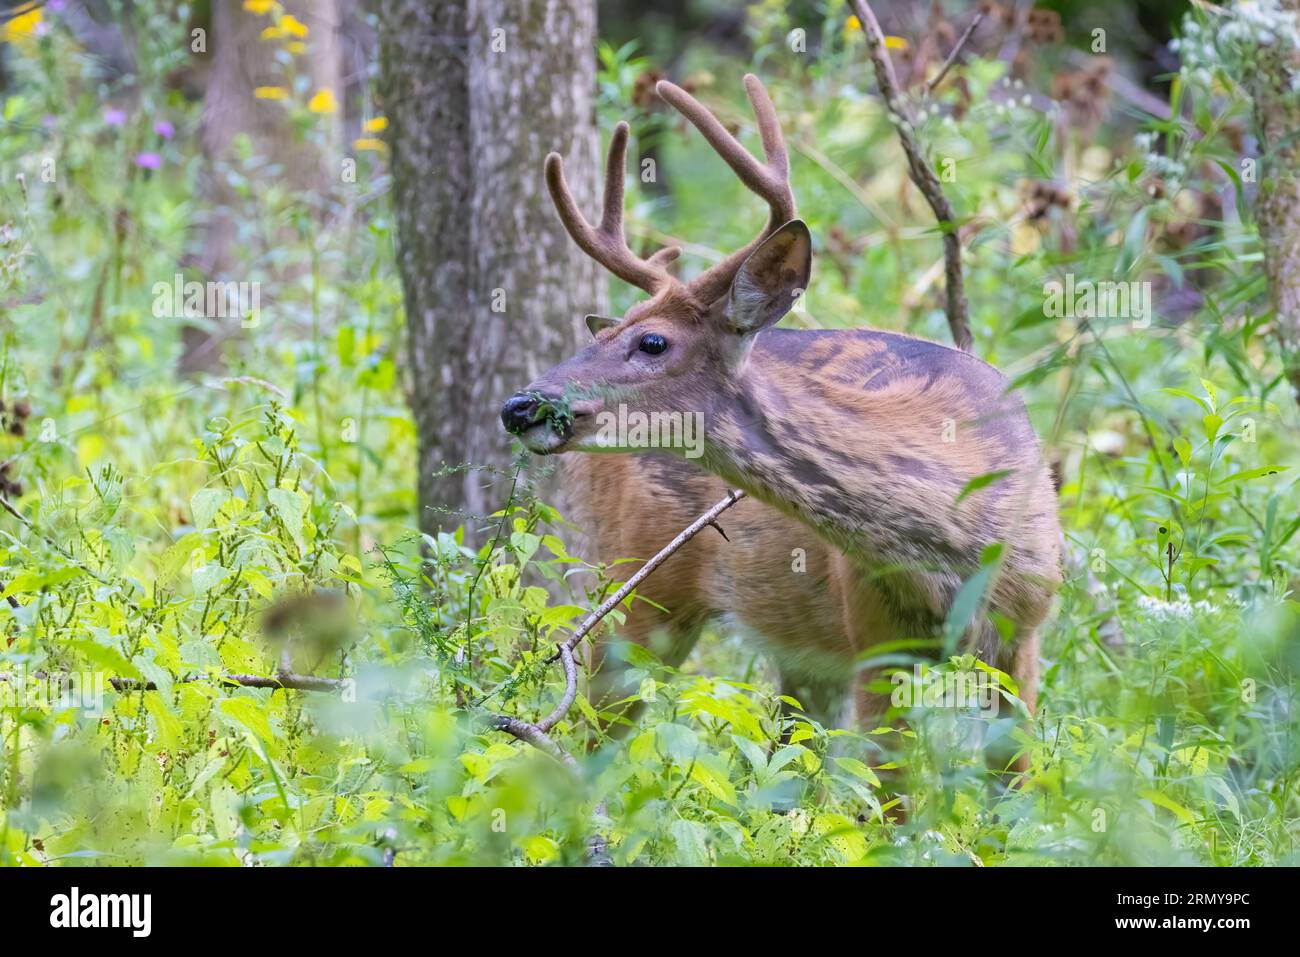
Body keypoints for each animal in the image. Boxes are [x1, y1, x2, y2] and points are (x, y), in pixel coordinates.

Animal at [500, 74, 1061, 770]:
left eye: (652, 342)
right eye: (612, 336)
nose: (520, 406)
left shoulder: (1024, 636)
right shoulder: (875, 640)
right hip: (635, 582)